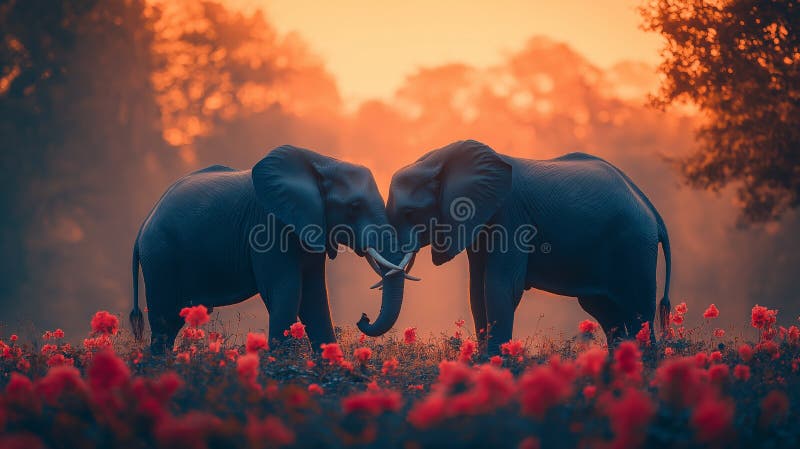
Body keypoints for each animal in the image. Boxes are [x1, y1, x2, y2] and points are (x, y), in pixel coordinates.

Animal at [129, 145, 416, 353]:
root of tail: (143, 225)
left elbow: (314, 296)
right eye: (354, 206)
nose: (363, 317)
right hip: (161, 256)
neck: (322, 163)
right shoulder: (268, 226)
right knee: (164, 320)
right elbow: (287, 292)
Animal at [383, 140, 671, 354]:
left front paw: (494, 363)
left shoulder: (511, 216)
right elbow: (476, 289)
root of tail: (654, 214)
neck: (440, 160)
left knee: (637, 311)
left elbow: (500, 286)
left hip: (635, 246)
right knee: (606, 311)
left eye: (410, 213)